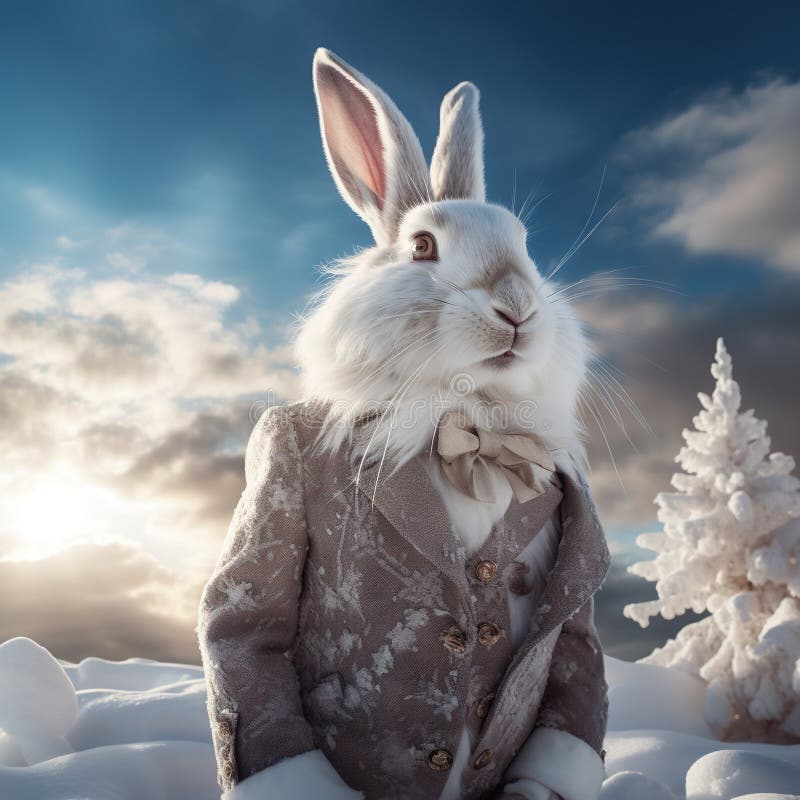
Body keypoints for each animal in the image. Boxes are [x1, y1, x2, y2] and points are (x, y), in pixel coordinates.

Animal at [198, 47, 610, 800]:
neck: (465, 418)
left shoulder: (572, 632)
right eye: (422, 246)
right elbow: (246, 632)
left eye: (527, 247)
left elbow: (575, 660)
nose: (518, 308)